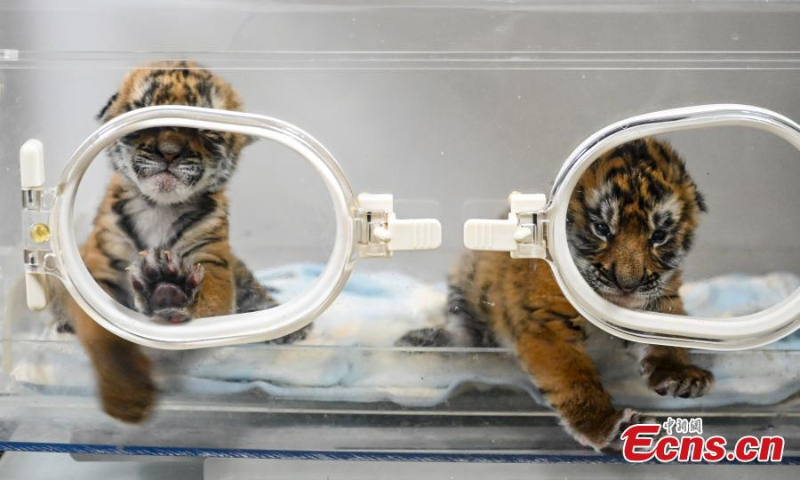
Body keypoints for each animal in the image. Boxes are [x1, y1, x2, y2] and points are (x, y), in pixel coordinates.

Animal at [51, 61, 305, 424]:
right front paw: (127, 399)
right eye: (143, 113)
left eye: (206, 127)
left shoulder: (212, 262)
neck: (158, 207)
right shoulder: (100, 269)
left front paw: (170, 293)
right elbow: (104, 335)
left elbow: (211, 304)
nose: (168, 153)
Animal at [397, 138, 714, 451]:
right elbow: (574, 380)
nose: (627, 285)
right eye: (601, 229)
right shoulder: (547, 325)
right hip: (468, 281)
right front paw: (607, 426)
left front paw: (681, 375)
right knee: (464, 336)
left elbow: (667, 338)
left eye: (658, 236)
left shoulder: (661, 301)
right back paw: (423, 340)